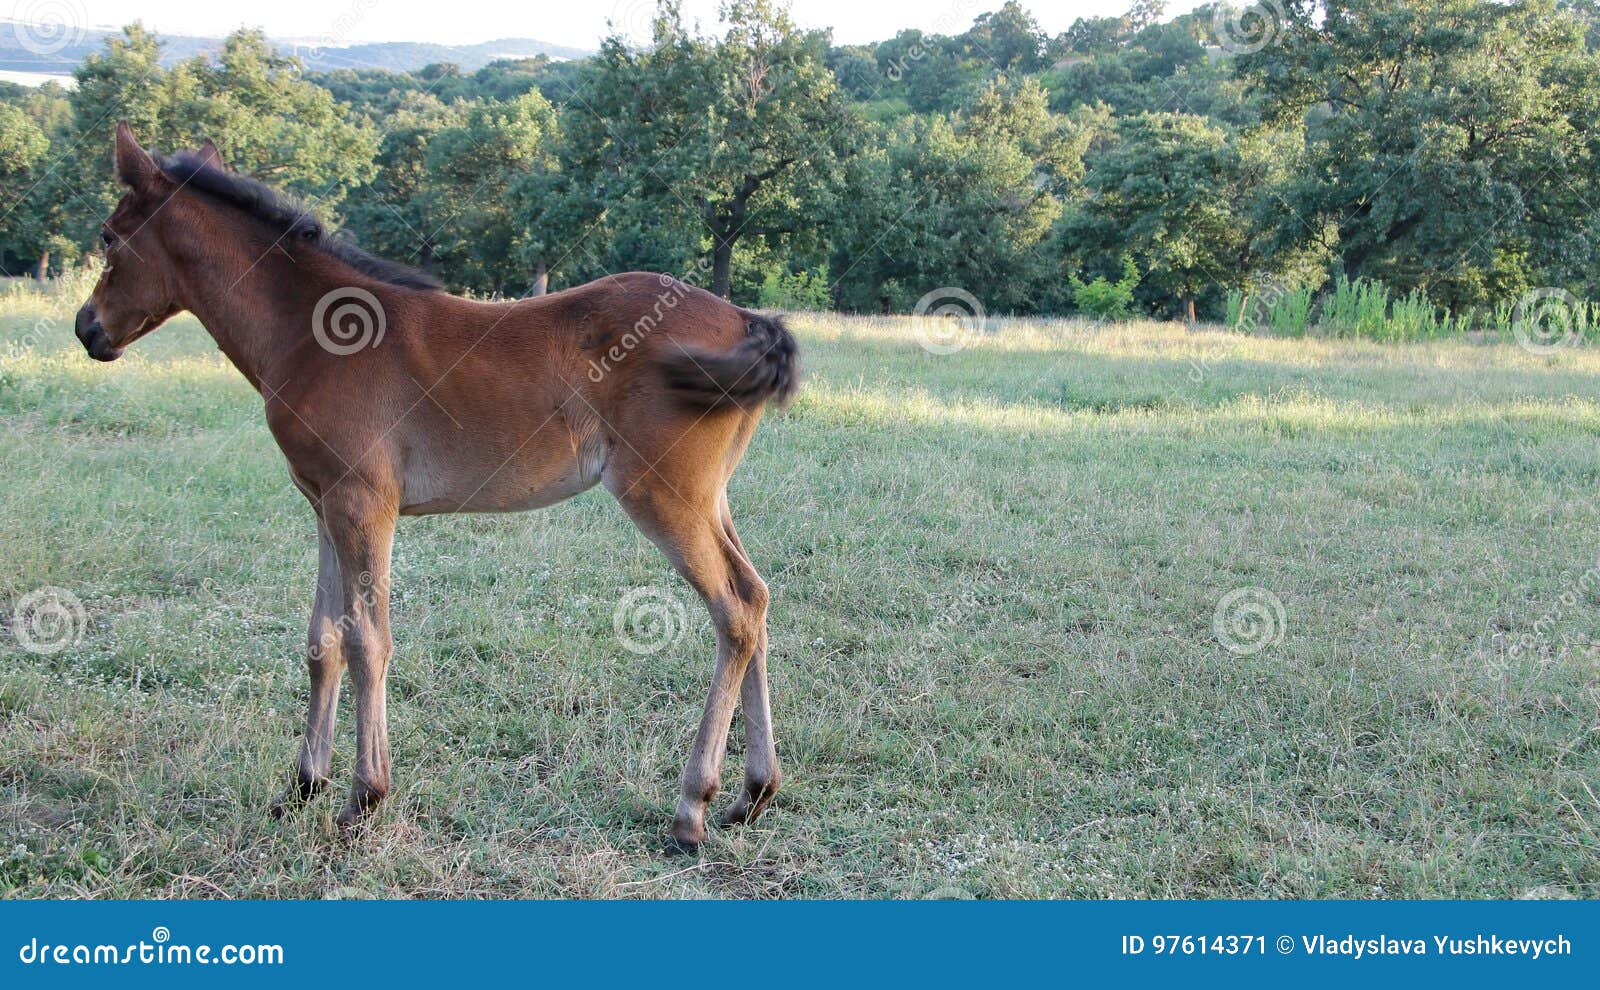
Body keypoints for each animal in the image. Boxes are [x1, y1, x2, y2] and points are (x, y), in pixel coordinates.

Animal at [74, 123, 797, 851]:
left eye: (108, 235)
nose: (86, 328)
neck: (312, 334)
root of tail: (744, 319)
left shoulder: (363, 504)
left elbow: (367, 641)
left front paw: (363, 799)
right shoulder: (324, 505)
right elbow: (322, 640)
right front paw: (302, 787)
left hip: (661, 493)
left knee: (734, 608)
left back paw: (693, 804)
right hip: (710, 498)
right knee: (757, 599)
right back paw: (753, 794)